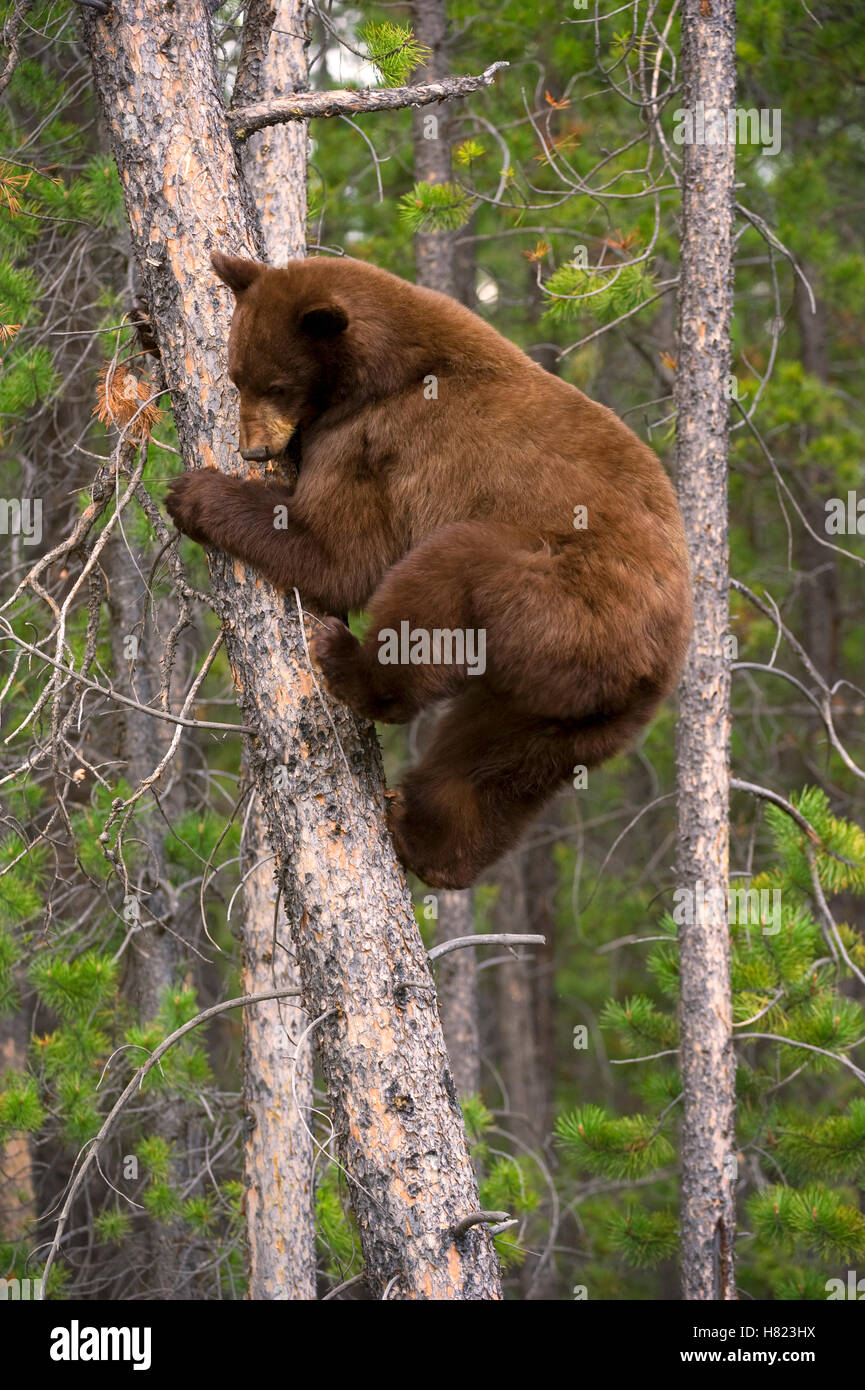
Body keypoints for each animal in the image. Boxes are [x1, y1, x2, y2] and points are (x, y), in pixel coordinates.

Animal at [165, 251, 692, 889]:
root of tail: (649, 660)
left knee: (443, 581)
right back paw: (428, 845)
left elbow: (339, 554)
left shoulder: (376, 440)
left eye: (277, 385)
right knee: (491, 765)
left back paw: (351, 666)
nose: (253, 451)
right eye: (237, 377)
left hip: (561, 600)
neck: (382, 368)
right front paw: (145, 326)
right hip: (575, 711)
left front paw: (194, 494)